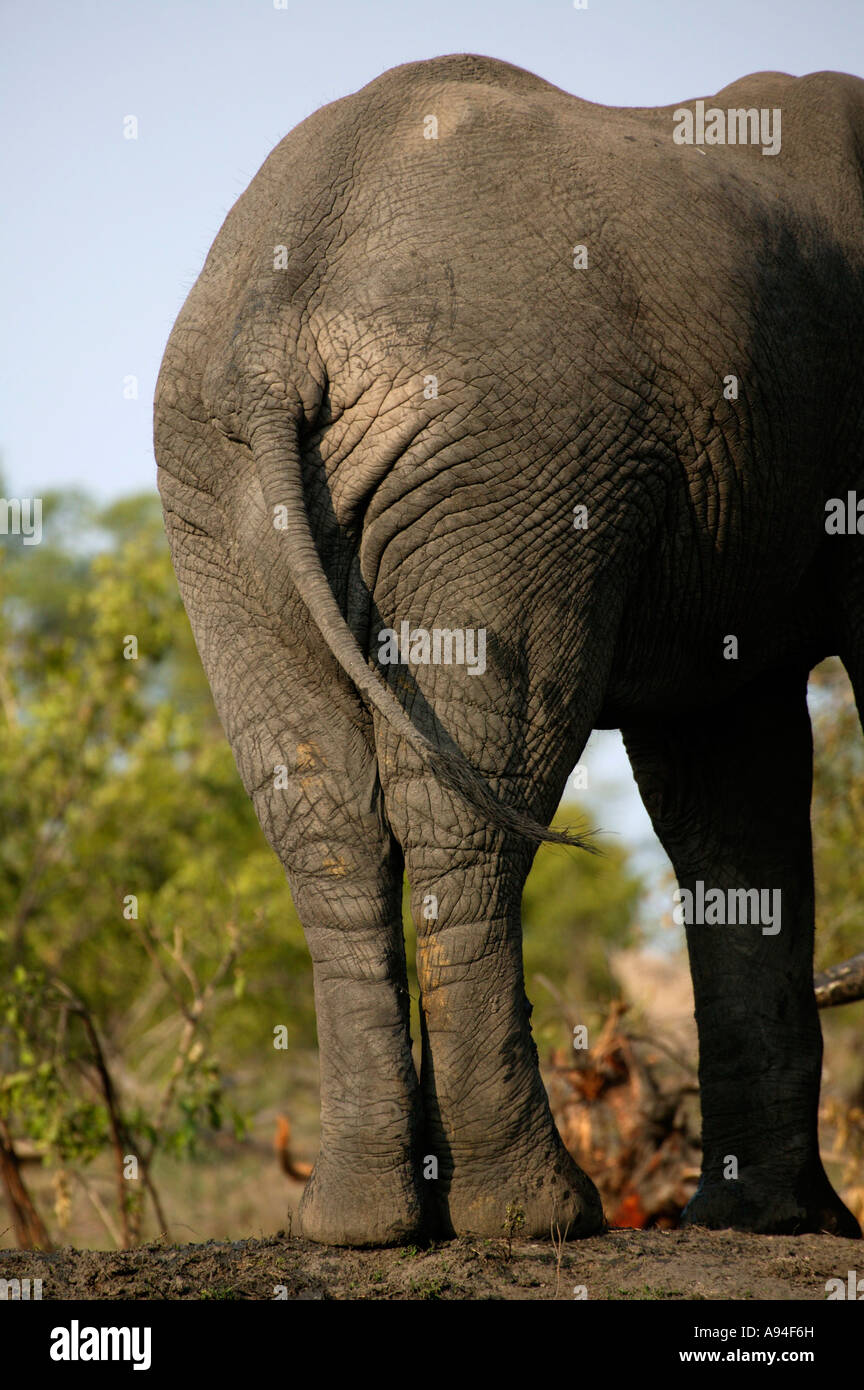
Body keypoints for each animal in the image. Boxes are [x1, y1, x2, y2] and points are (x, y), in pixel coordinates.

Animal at [154, 53, 864, 1246]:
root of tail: (276, 324)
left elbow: (729, 779)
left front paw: (774, 1222)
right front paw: (790, 1226)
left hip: (238, 488)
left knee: (328, 818)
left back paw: (366, 1225)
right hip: (509, 465)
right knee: (467, 796)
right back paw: (536, 1218)